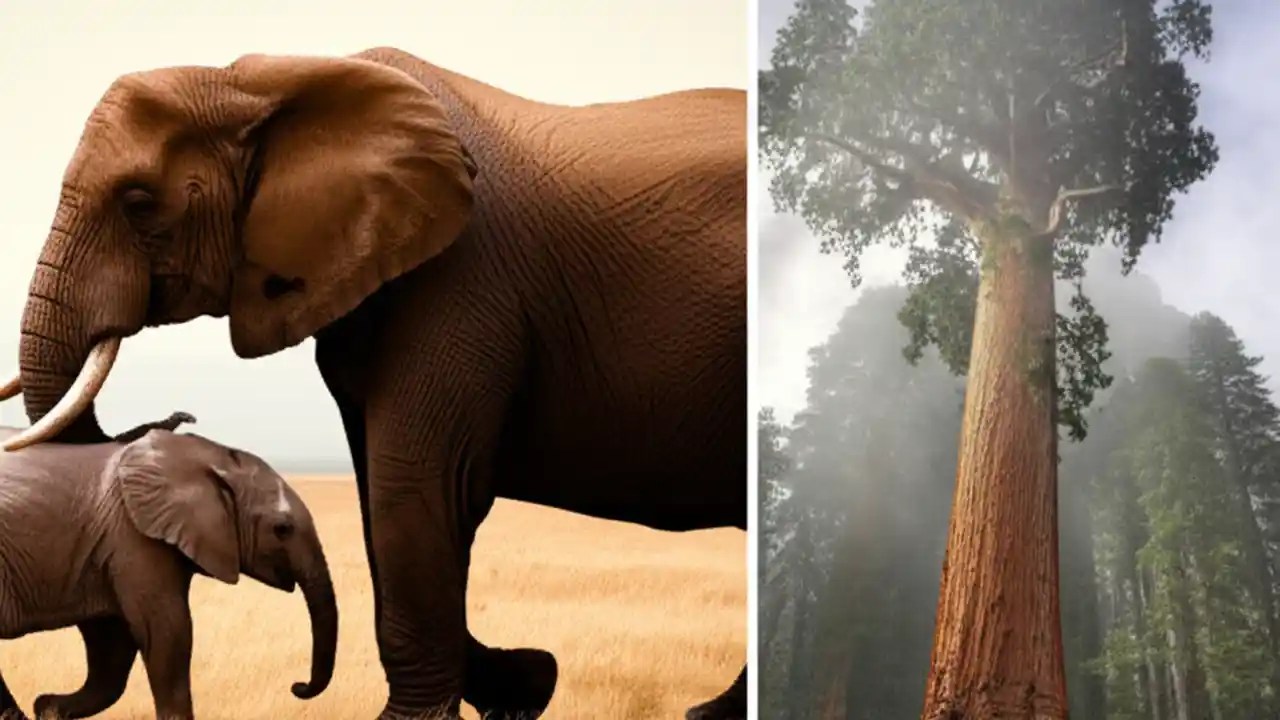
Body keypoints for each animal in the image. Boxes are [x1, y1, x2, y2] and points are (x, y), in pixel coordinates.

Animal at [0, 426, 337, 720]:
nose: (298, 687)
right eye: (282, 529)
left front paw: (48, 707)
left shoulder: (105, 549)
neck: (210, 458)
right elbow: (167, 633)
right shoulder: (134, 539)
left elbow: (112, 645)